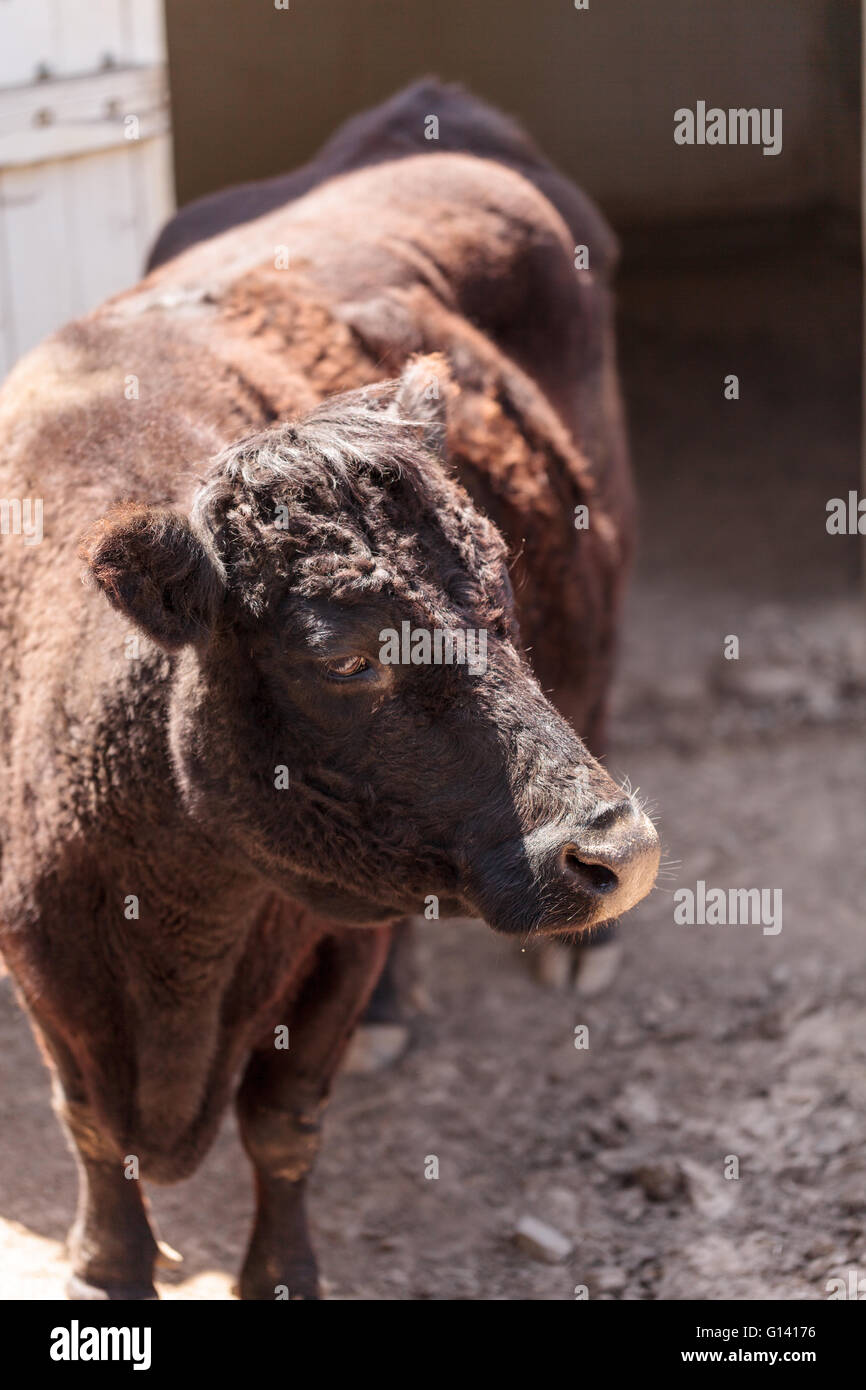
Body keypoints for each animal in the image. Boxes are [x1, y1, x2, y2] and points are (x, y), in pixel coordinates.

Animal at [0, 81, 658, 1300]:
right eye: (346, 657)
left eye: (500, 599)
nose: (618, 853)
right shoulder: (42, 959)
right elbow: (89, 1123)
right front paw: (106, 1265)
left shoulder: (330, 950)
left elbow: (284, 1124)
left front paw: (281, 1273)